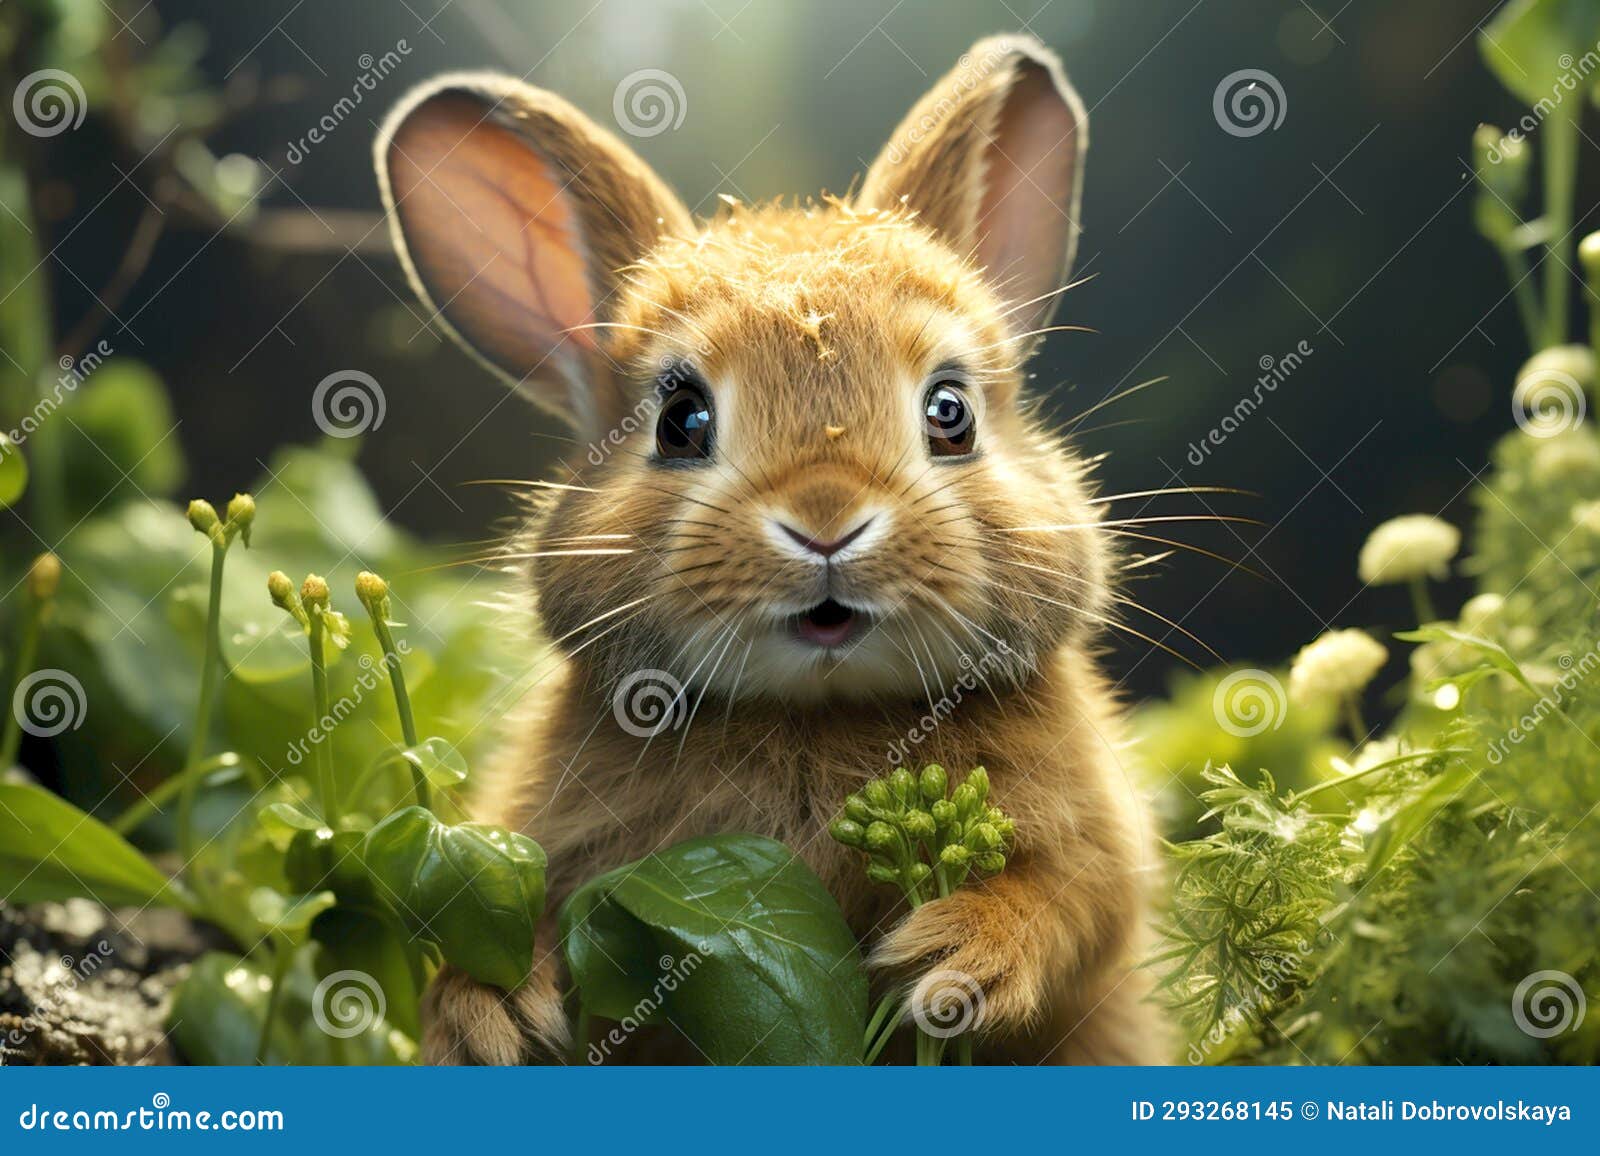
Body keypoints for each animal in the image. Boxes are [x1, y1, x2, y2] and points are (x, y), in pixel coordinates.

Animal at [376, 32, 1168, 1066]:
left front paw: (951, 961)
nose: (825, 519)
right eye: (681, 419)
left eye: (950, 412)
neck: (812, 712)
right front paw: (488, 1015)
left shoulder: (1097, 851)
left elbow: (1074, 906)